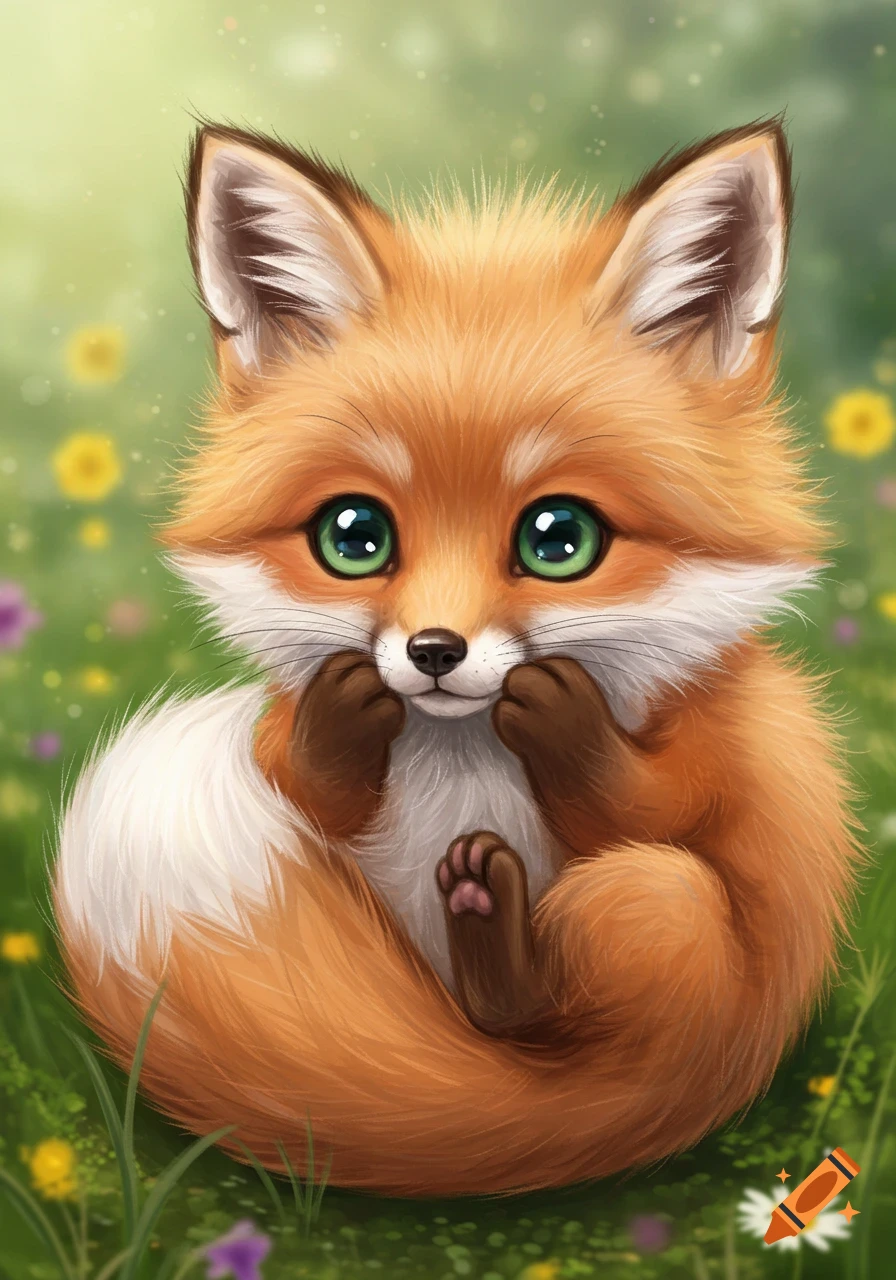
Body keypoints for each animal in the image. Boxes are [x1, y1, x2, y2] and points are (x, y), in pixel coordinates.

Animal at [54, 116, 860, 1197]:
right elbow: (305, 780)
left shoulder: (714, 736)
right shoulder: (291, 775)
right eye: (354, 535)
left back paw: (496, 950)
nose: (432, 650)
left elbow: (661, 802)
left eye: (558, 538)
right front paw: (336, 726)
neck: (462, 769)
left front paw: (568, 729)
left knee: (560, 1009)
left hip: (651, 906)